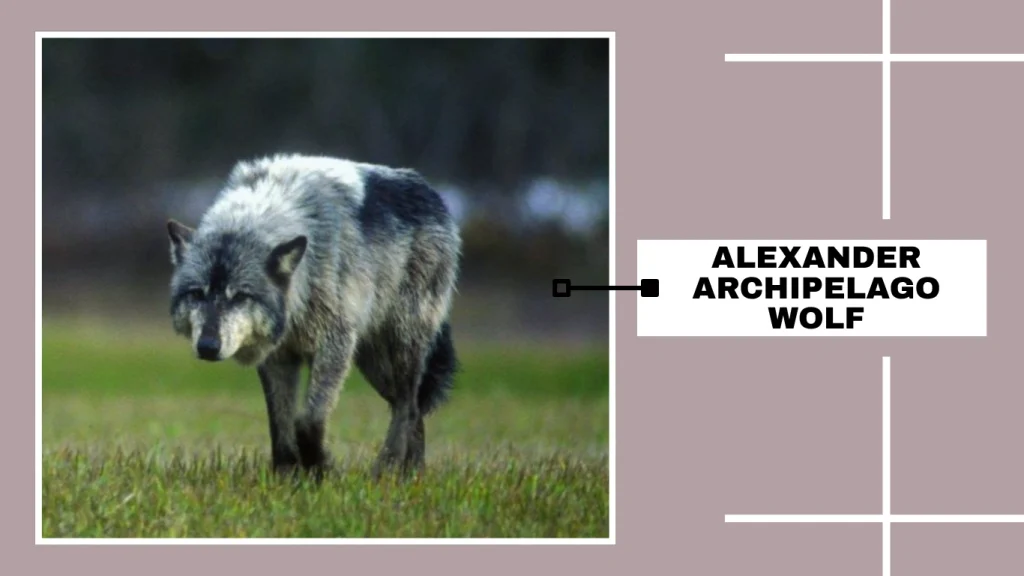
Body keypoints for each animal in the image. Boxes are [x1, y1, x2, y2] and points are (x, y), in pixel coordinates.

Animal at [165, 153, 460, 479]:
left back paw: (386, 471)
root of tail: (431, 193)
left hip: (398, 348)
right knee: (413, 410)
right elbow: (279, 425)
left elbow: (308, 420)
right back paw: (410, 477)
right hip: (373, 363)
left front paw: (320, 469)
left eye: (240, 296)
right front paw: (287, 477)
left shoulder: (333, 347)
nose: (207, 346)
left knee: (408, 406)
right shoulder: (278, 358)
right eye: (197, 293)